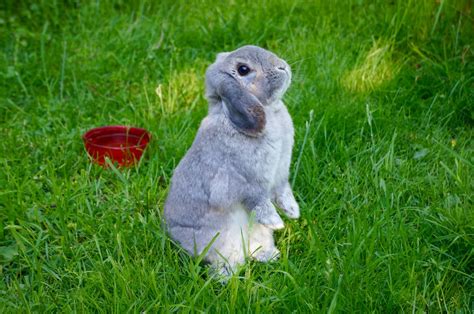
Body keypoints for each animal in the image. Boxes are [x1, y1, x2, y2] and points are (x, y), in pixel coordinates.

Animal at [165, 45, 300, 276]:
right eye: (243, 69)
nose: (282, 66)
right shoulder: (248, 183)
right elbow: (259, 202)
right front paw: (277, 223)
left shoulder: (280, 178)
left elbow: (283, 192)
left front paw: (293, 212)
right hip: (220, 241)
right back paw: (228, 276)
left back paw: (268, 256)